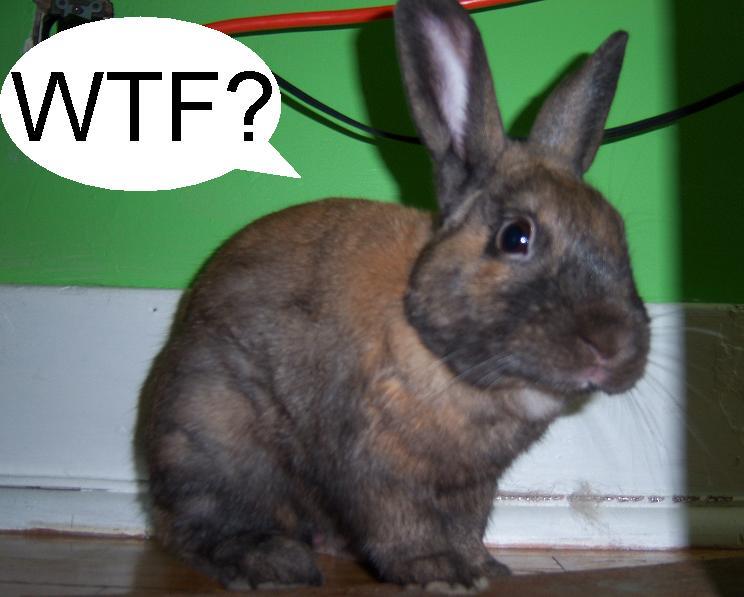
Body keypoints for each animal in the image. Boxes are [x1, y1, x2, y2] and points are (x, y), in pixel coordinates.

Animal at [143, 0, 649, 592]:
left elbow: (467, 526)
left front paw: (483, 568)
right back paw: (270, 561)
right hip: (214, 436)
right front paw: (439, 573)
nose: (611, 346)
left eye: (619, 233)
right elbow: (402, 526)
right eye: (515, 237)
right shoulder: (375, 470)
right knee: (200, 526)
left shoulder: (471, 488)